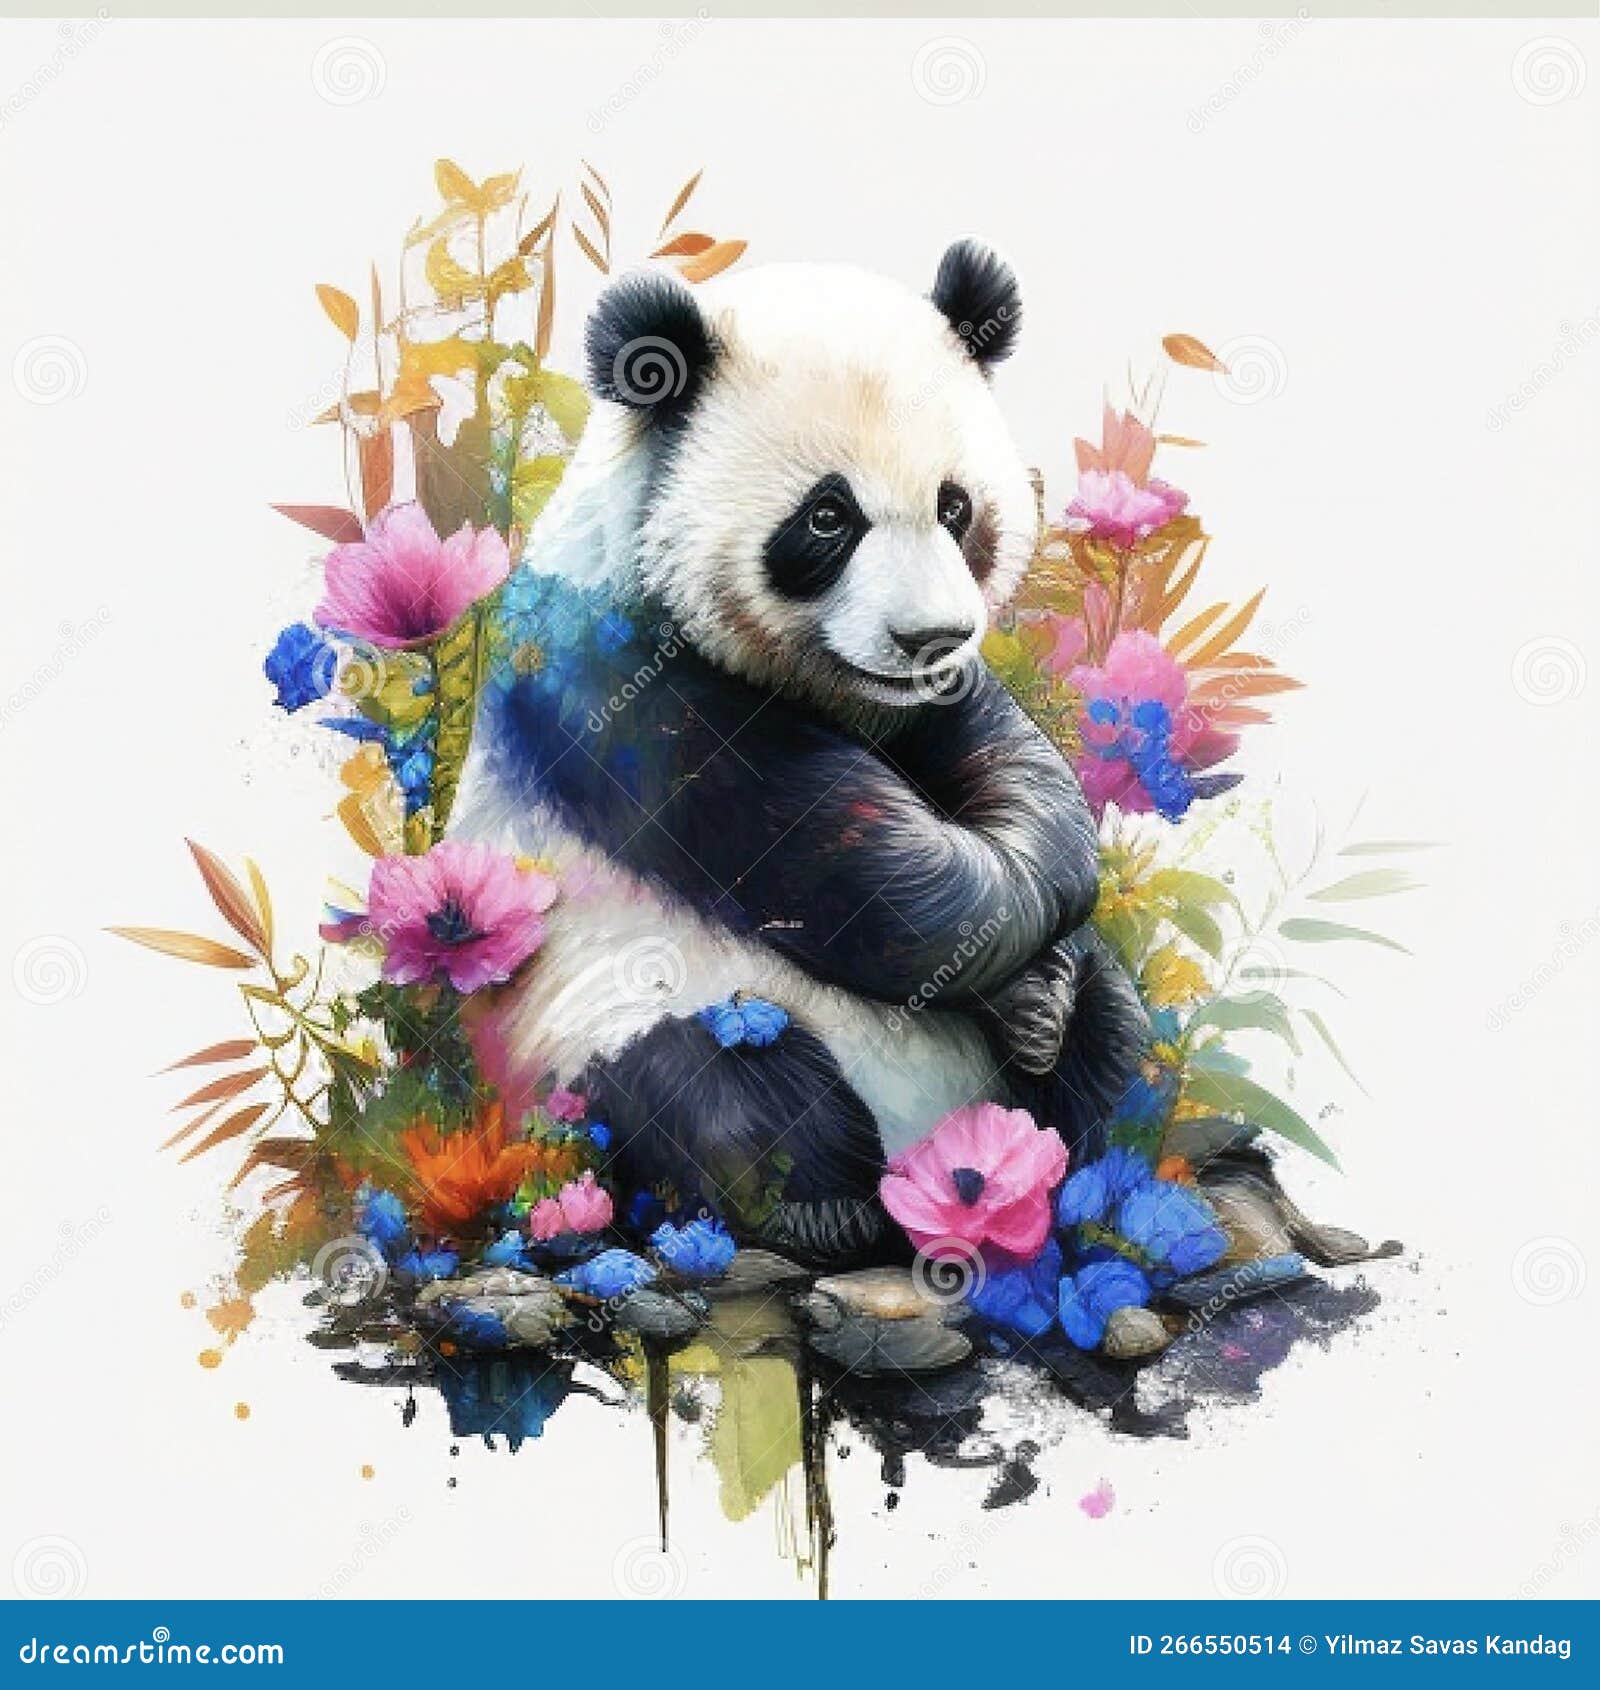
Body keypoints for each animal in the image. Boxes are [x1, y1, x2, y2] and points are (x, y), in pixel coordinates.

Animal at [449, 240, 1149, 1265]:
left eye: (955, 508)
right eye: (828, 518)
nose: (931, 639)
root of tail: (934, 1147)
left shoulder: (934, 706)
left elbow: (1027, 790)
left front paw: (1037, 991)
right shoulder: (608, 679)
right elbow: (857, 873)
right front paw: (1009, 968)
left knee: (1116, 1035)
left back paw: (1080, 1156)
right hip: (592, 1015)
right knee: (718, 1086)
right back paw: (830, 1212)